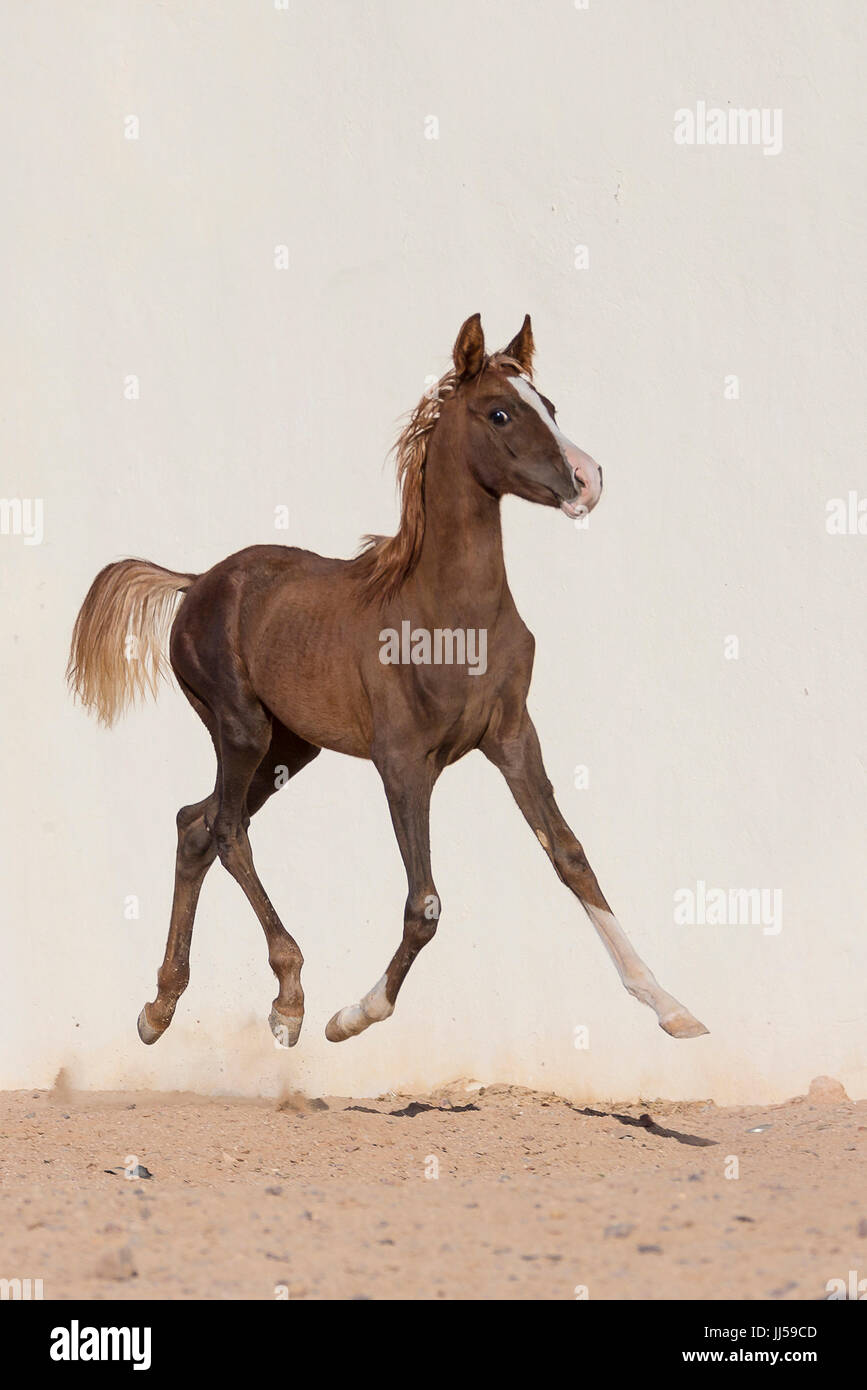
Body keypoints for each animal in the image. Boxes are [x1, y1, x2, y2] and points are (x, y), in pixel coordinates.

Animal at [67, 313, 708, 1049]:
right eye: (500, 411)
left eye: (550, 405)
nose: (588, 479)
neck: (450, 616)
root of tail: (198, 579)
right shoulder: (402, 761)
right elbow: (424, 903)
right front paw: (354, 1015)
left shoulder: (514, 737)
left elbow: (571, 856)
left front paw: (670, 1006)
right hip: (241, 729)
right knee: (227, 831)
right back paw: (288, 999)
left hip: (290, 747)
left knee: (195, 825)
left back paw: (160, 1007)